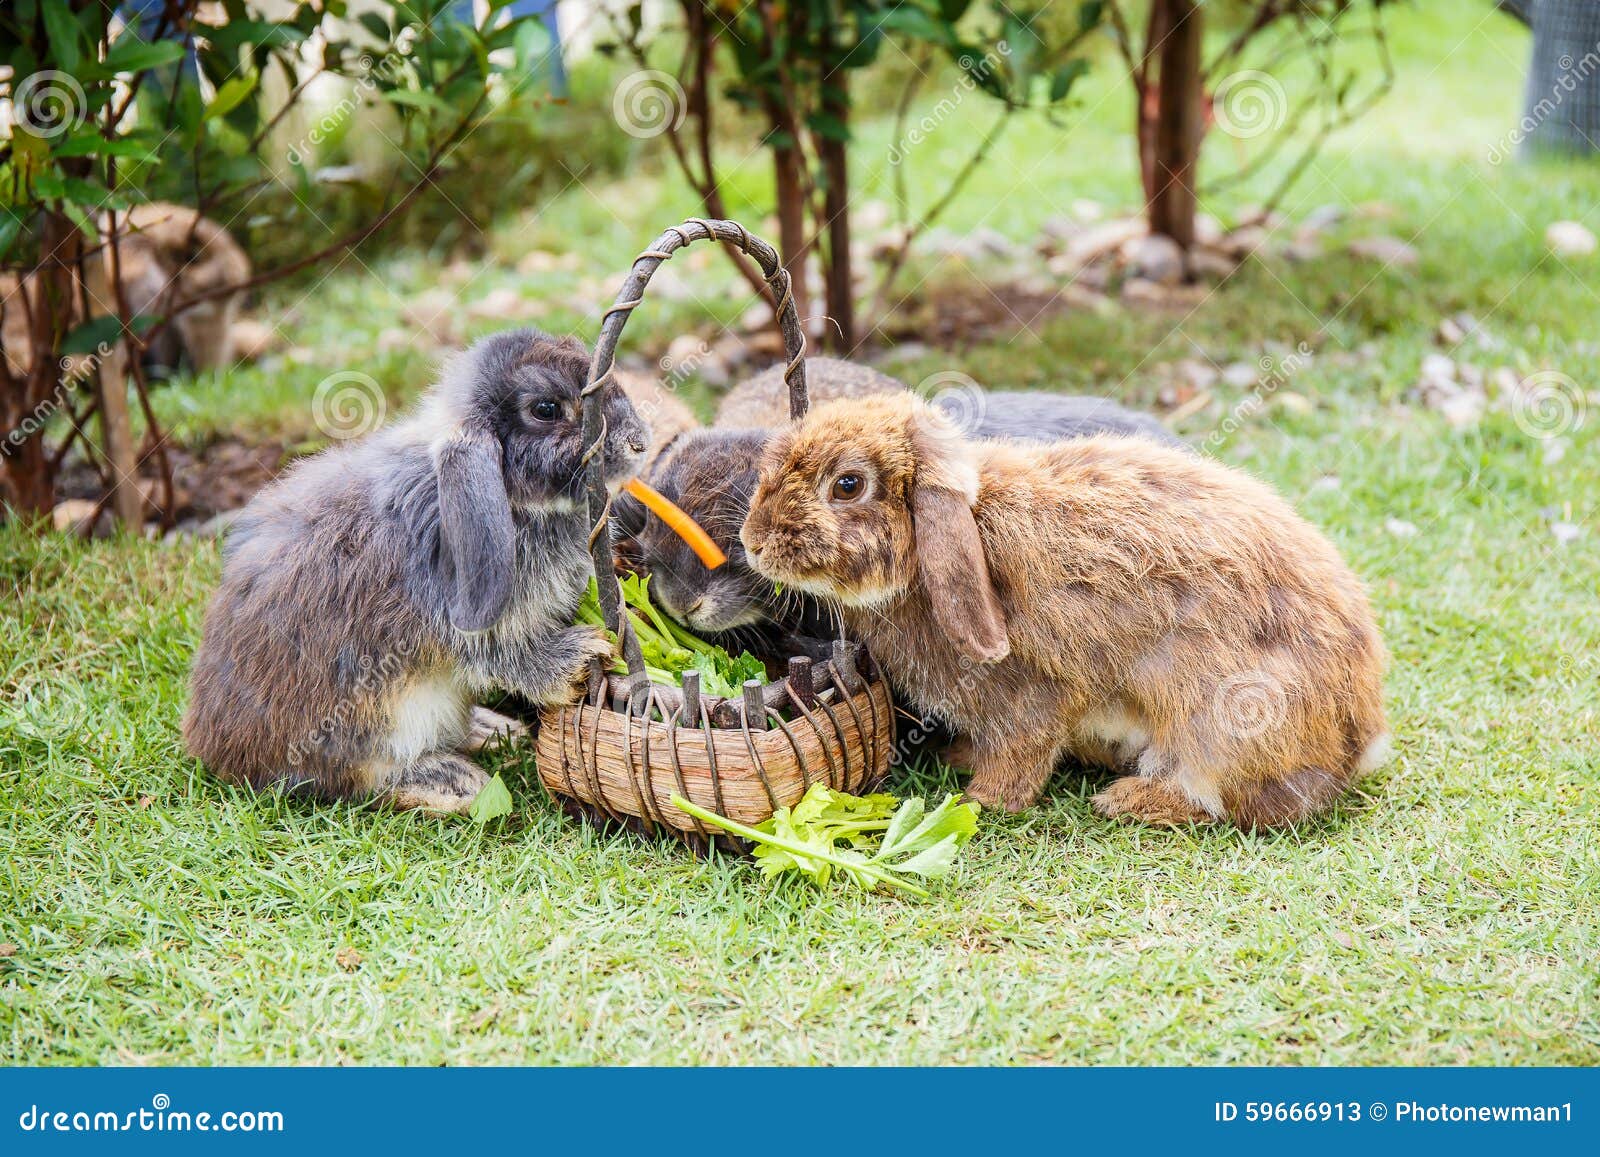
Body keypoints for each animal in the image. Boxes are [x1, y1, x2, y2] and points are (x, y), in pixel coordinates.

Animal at [183, 328, 647, 813]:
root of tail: (216, 751)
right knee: (358, 777)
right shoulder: (466, 615)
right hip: (376, 717)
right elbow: (504, 653)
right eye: (546, 409)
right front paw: (583, 656)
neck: (508, 495)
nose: (639, 444)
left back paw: (491, 730)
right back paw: (456, 782)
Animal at [738, 393, 1390, 829]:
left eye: (847, 485)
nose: (753, 542)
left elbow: (1022, 754)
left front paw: (980, 799)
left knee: (1238, 799)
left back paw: (1131, 799)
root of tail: (1361, 734)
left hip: (1227, 718)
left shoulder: (1031, 699)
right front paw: (959, 758)